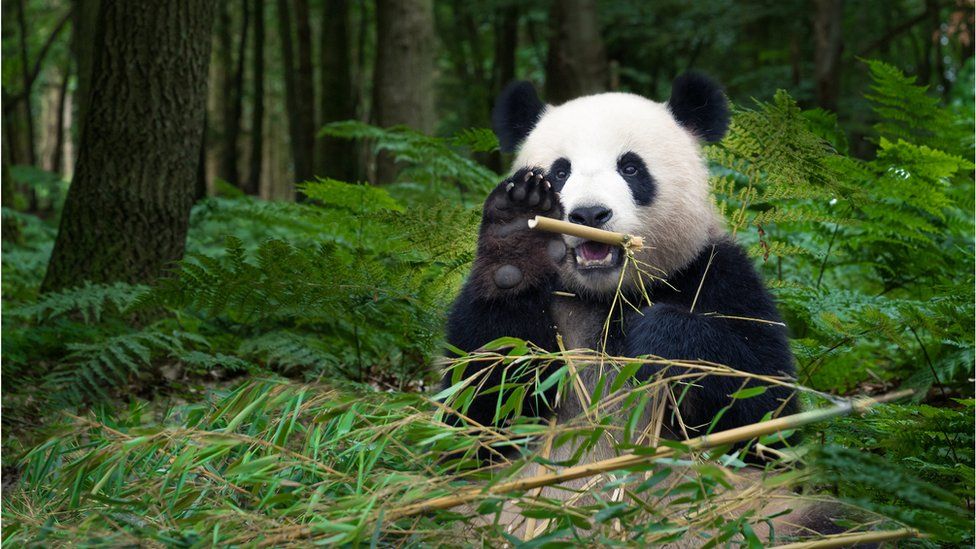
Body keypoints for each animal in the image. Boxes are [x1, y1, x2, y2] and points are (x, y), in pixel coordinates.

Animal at [444, 73, 797, 443]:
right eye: (560, 173)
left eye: (630, 168)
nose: (589, 214)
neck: (605, 296)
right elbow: (479, 400)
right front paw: (517, 235)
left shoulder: (718, 274)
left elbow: (764, 404)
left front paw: (657, 334)